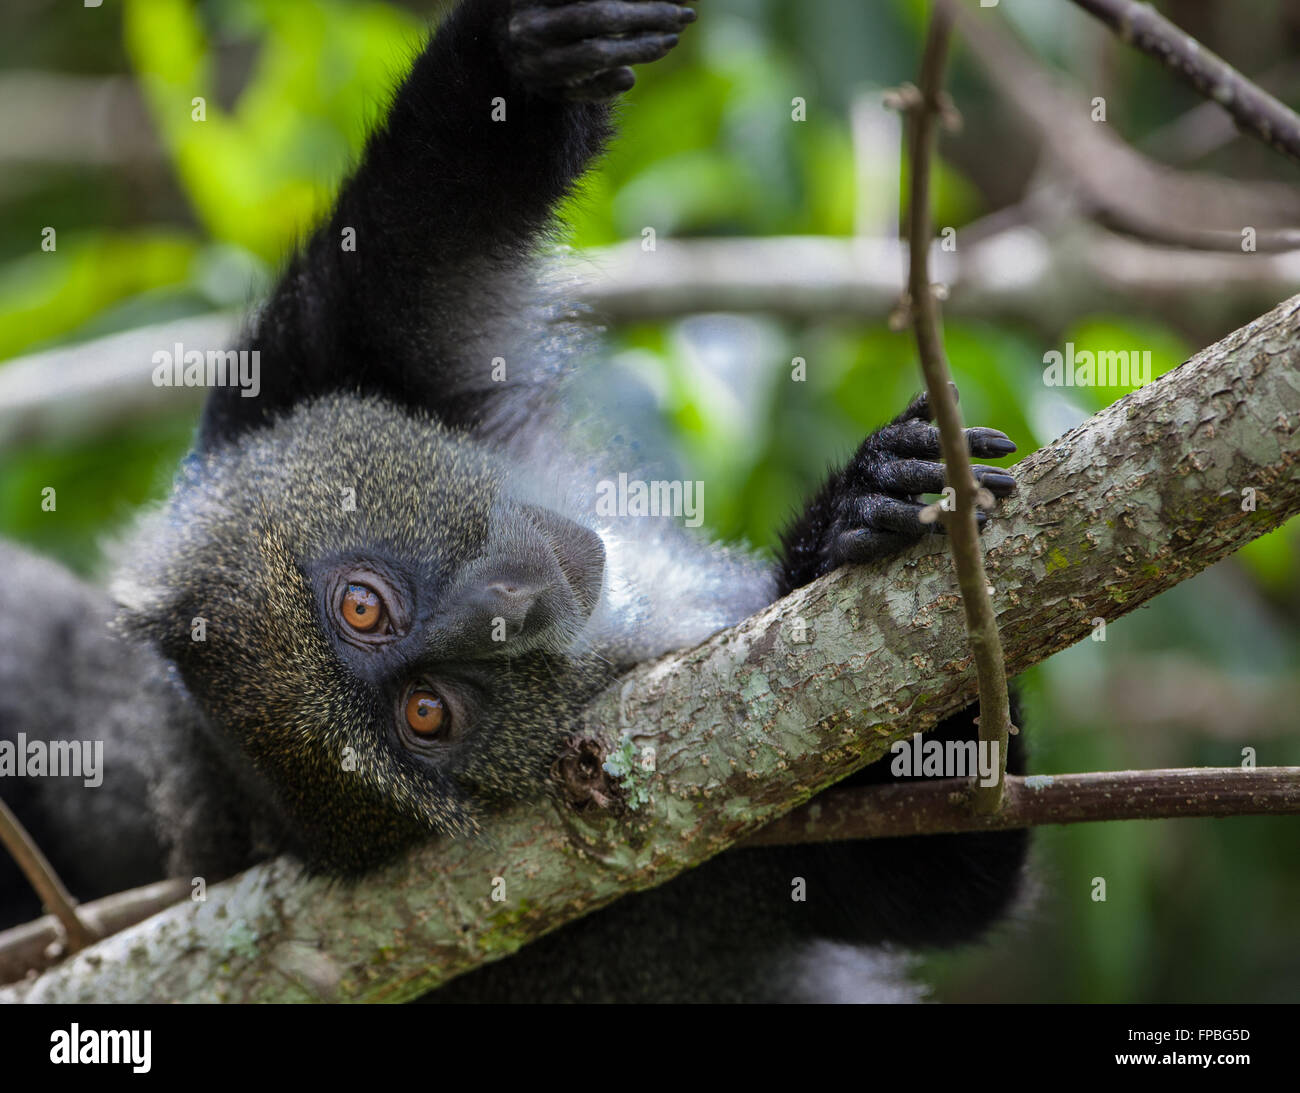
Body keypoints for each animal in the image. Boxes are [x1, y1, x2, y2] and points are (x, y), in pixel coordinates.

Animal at [0, 0, 1026, 1002]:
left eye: (360, 606)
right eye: (428, 715)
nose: (514, 604)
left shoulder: (275, 394)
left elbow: (403, 239)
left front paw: (518, 58)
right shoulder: (697, 875)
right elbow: (948, 878)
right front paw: (838, 535)